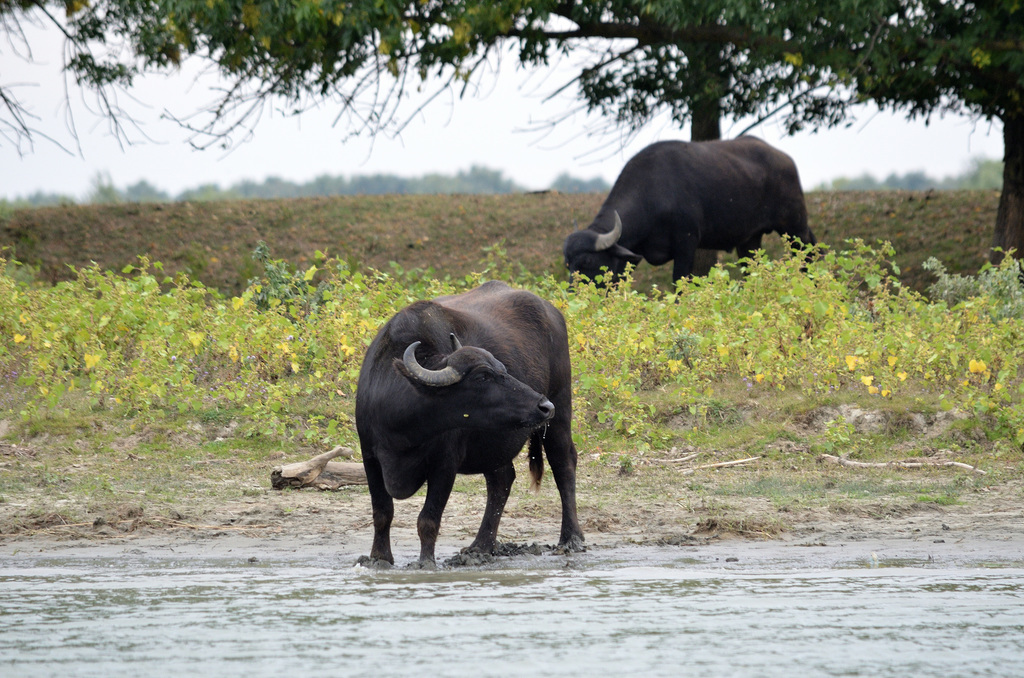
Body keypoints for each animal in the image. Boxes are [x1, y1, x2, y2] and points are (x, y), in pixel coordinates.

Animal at [355, 281, 584, 567]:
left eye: (503, 368)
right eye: (483, 376)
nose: (544, 406)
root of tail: (552, 312)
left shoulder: (445, 463)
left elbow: (428, 519)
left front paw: (426, 562)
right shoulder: (370, 457)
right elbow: (382, 512)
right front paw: (379, 557)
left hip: (560, 410)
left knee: (564, 465)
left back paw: (571, 538)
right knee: (501, 480)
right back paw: (481, 546)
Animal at [563, 137, 816, 284]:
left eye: (587, 261)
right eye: (568, 264)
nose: (575, 293)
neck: (654, 193)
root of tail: (784, 159)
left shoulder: (686, 242)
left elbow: (679, 281)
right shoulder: (632, 253)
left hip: (794, 225)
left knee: (809, 251)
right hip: (750, 240)